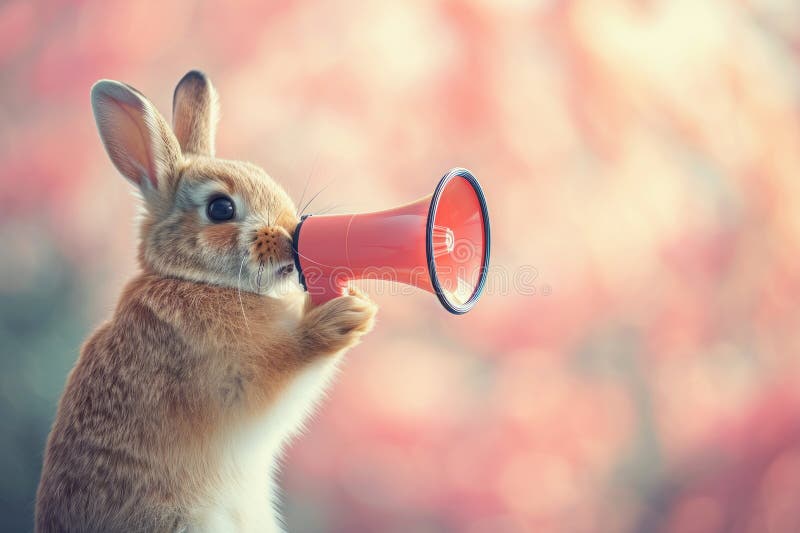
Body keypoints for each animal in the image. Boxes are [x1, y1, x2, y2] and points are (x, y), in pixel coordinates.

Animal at [35, 70, 377, 533]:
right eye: (220, 208)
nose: (292, 237)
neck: (195, 279)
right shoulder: (230, 377)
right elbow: (285, 362)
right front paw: (346, 316)